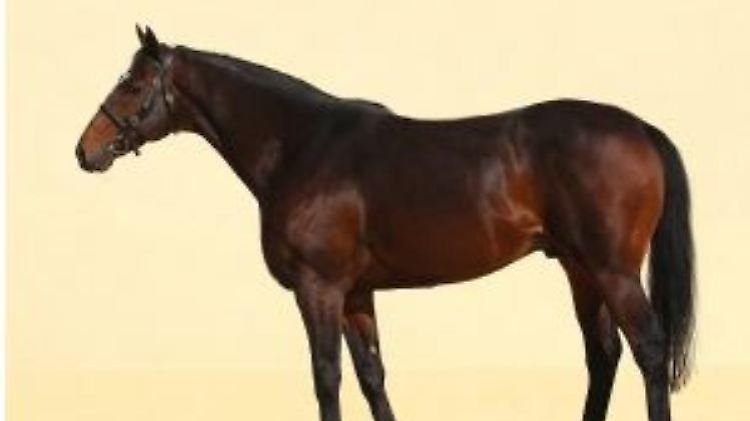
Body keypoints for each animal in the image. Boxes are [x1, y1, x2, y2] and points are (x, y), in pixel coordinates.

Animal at [75, 26, 695, 421]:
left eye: (132, 85)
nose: (86, 151)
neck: (303, 145)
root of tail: (639, 128)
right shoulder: (356, 293)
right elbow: (372, 376)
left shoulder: (318, 288)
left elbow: (326, 376)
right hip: (579, 268)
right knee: (603, 355)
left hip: (611, 271)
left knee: (648, 349)